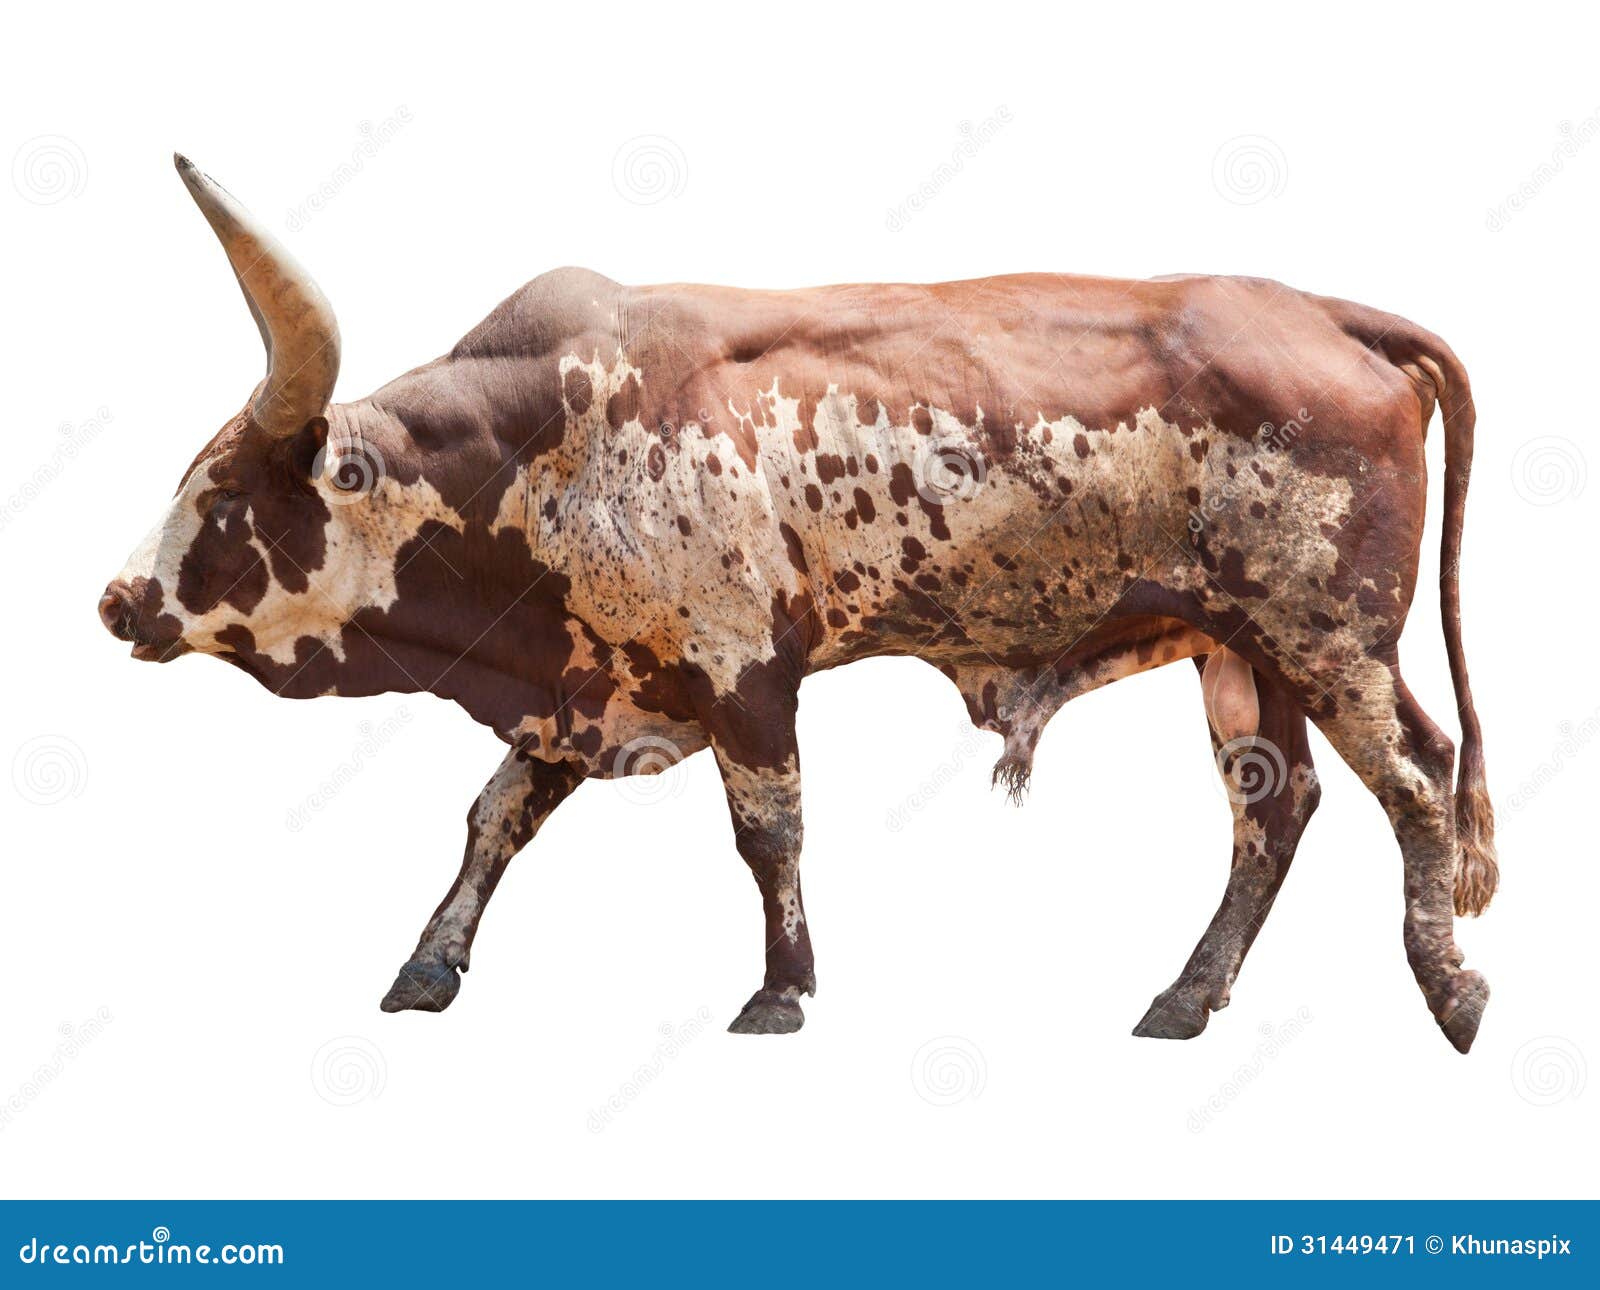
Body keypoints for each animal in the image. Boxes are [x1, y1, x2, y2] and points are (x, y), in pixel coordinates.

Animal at [100, 156, 1498, 1050]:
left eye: (228, 499)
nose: (119, 601)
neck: (536, 446)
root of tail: (1321, 315)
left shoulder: (743, 672)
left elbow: (767, 830)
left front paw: (781, 992)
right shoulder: (588, 681)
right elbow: (494, 818)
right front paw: (426, 966)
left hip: (1333, 640)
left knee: (1416, 780)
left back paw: (1450, 995)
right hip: (1241, 653)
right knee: (1277, 808)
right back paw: (1183, 999)